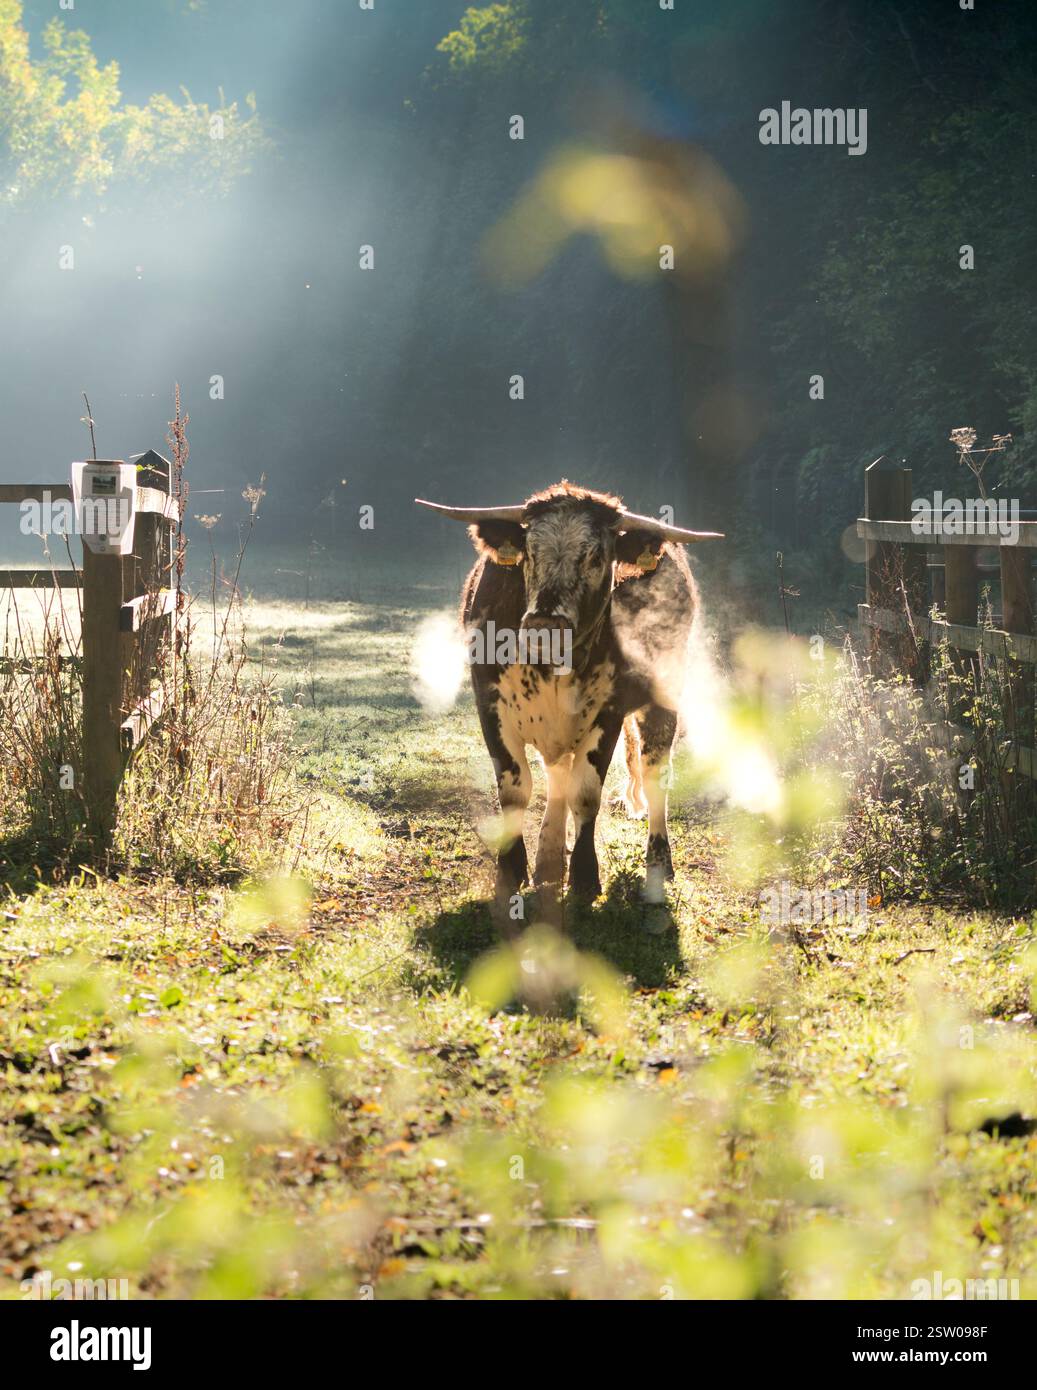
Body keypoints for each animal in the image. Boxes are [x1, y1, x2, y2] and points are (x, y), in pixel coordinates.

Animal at [416, 481, 722, 908]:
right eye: (529, 550)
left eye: (596, 555)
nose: (545, 625)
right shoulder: (489, 705)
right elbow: (515, 789)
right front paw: (512, 869)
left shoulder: (608, 713)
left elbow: (586, 793)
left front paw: (584, 875)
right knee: (557, 773)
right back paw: (548, 855)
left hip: (664, 696)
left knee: (654, 773)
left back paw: (658, 863)